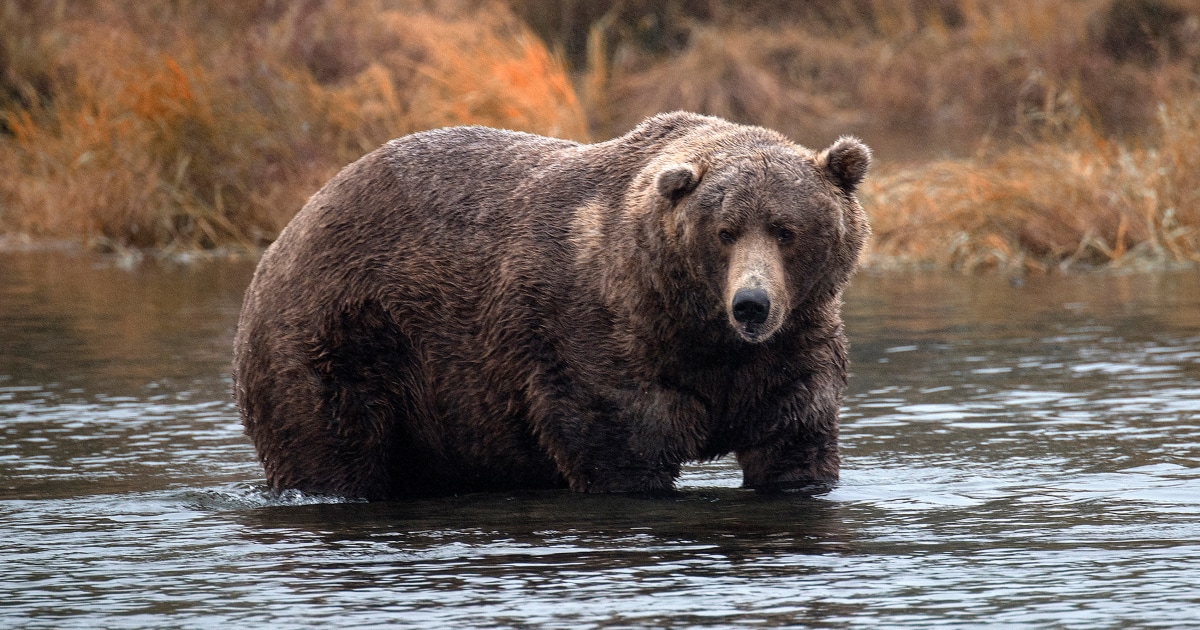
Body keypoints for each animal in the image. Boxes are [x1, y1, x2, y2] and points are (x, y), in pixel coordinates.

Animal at [232, 111, 870, 499]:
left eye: (786, 230)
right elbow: (622, 446)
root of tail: (286, 234)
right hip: (344, 339)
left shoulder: (789, 349)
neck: (692, 328)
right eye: (725, 231)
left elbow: (793, 439)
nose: (751, 304)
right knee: (331, 445)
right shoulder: (597, 341)